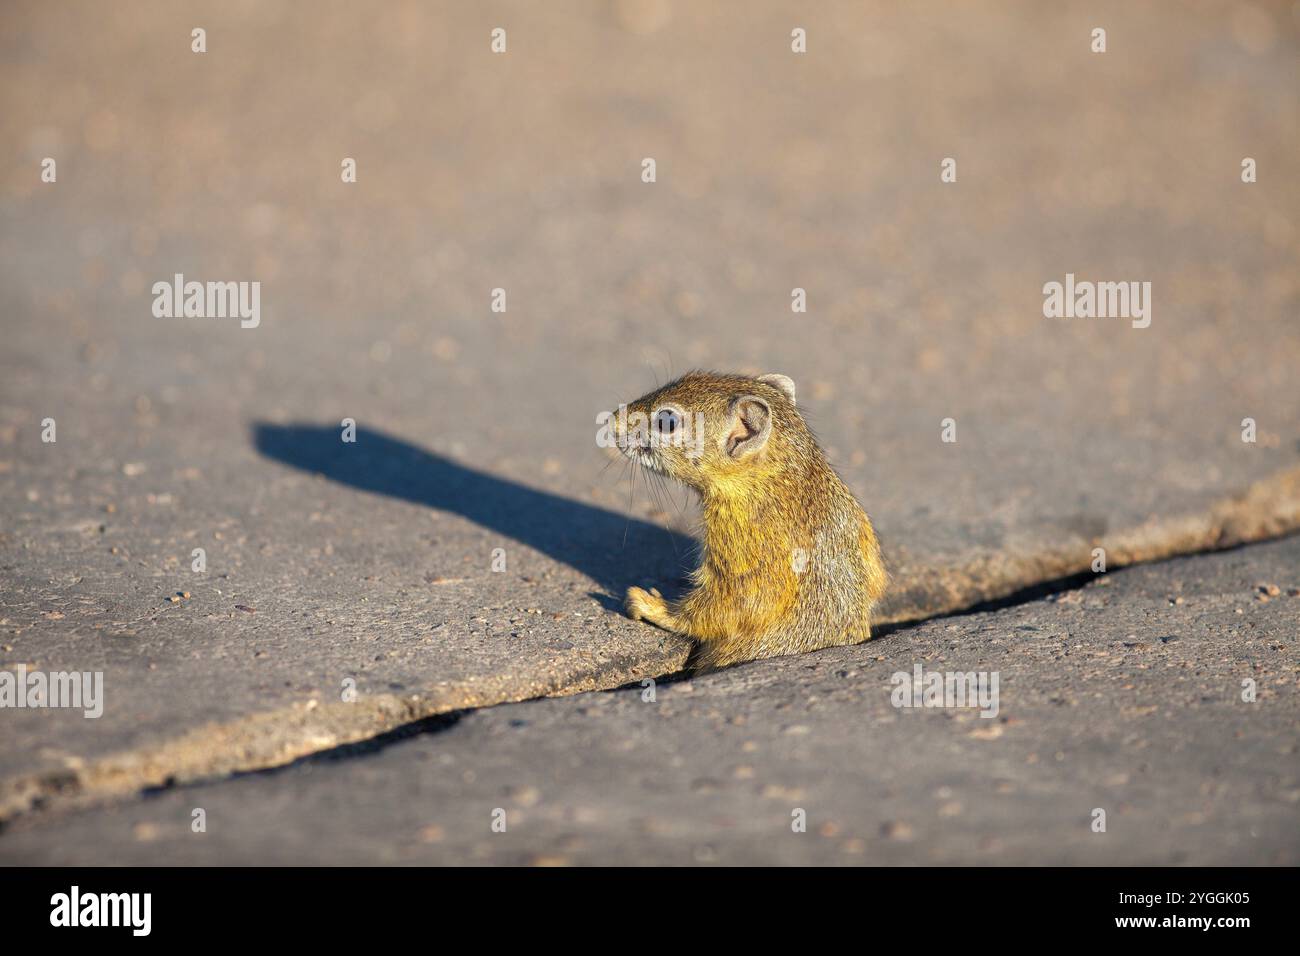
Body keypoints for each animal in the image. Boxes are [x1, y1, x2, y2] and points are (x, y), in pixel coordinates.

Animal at [610, 370, 887, 670]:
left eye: (667, 422)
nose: (613, 420)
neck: (779, 477)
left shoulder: (746, 538)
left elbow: (736, 604)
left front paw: (654, 607)